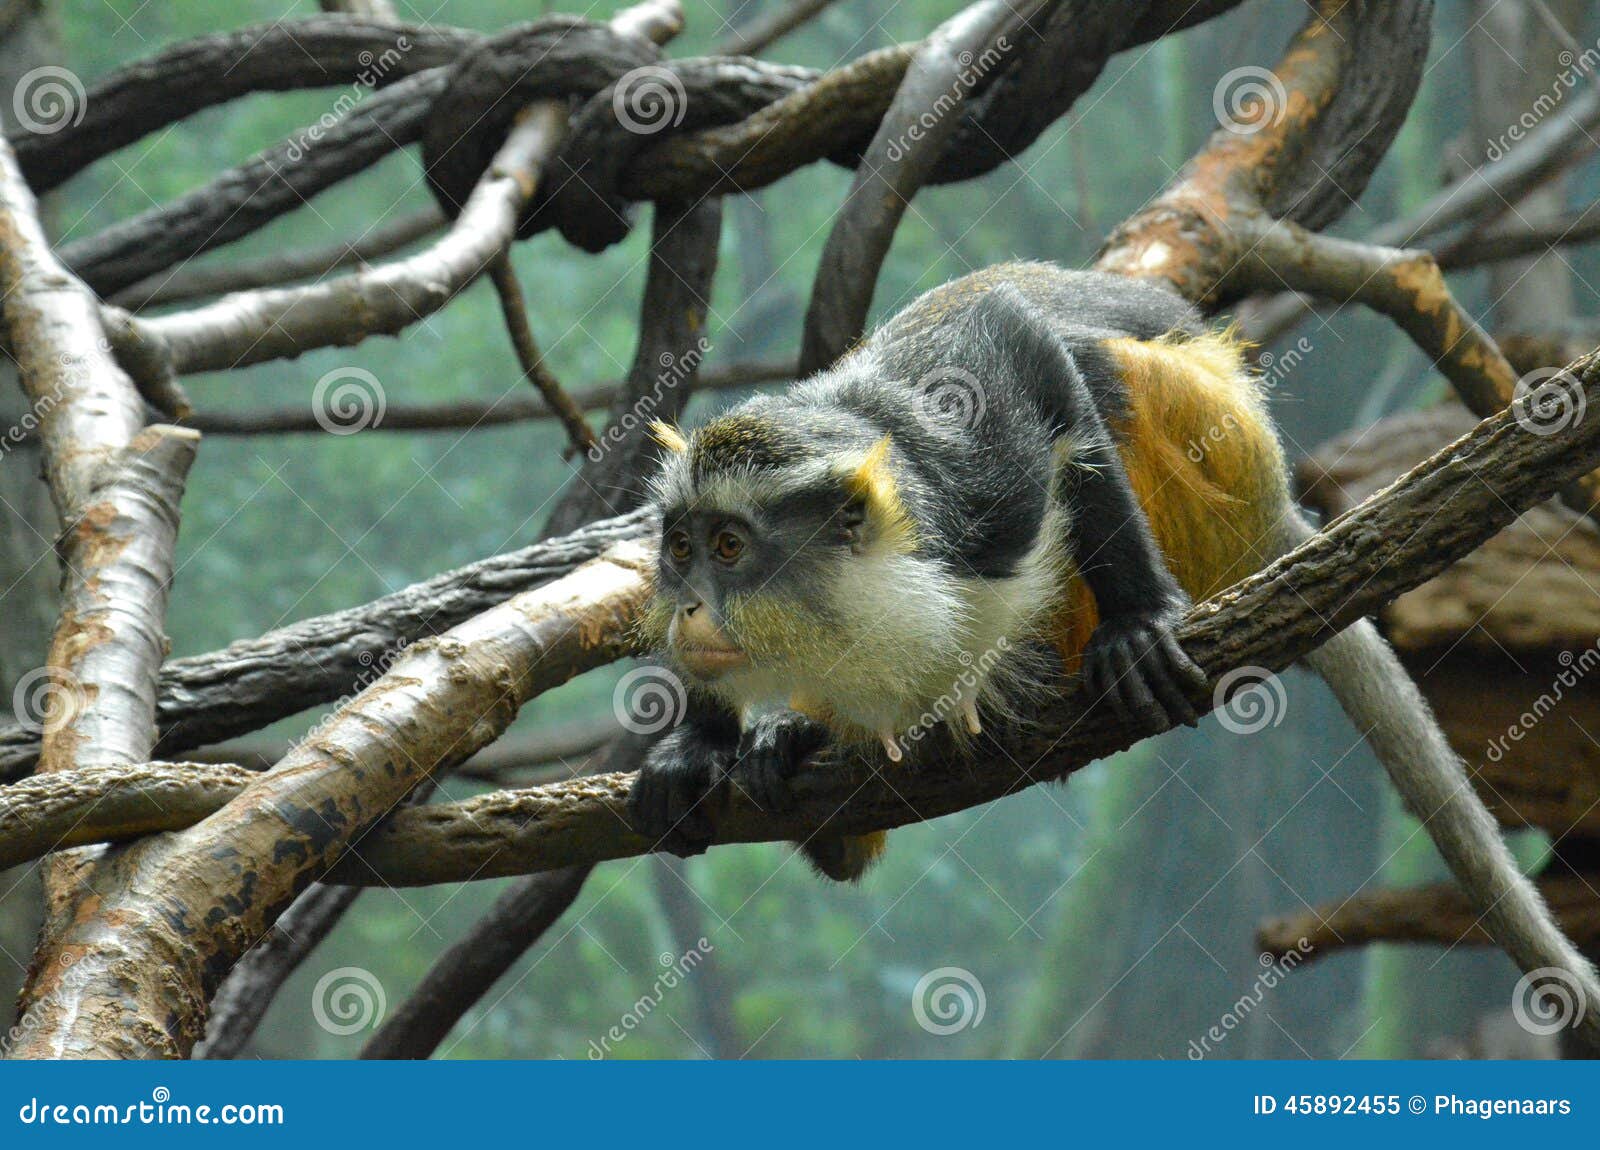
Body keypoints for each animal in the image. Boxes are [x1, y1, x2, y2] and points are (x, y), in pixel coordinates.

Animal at [627, 260, 1600, 1019]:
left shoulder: (984, 483)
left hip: (1213, 449)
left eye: (728, 548)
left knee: (1099, 370)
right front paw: (705, 744)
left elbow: (1028, 354)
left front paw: (1136, 621)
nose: (690, 609)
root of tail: (1275, 506)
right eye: (679, 550)